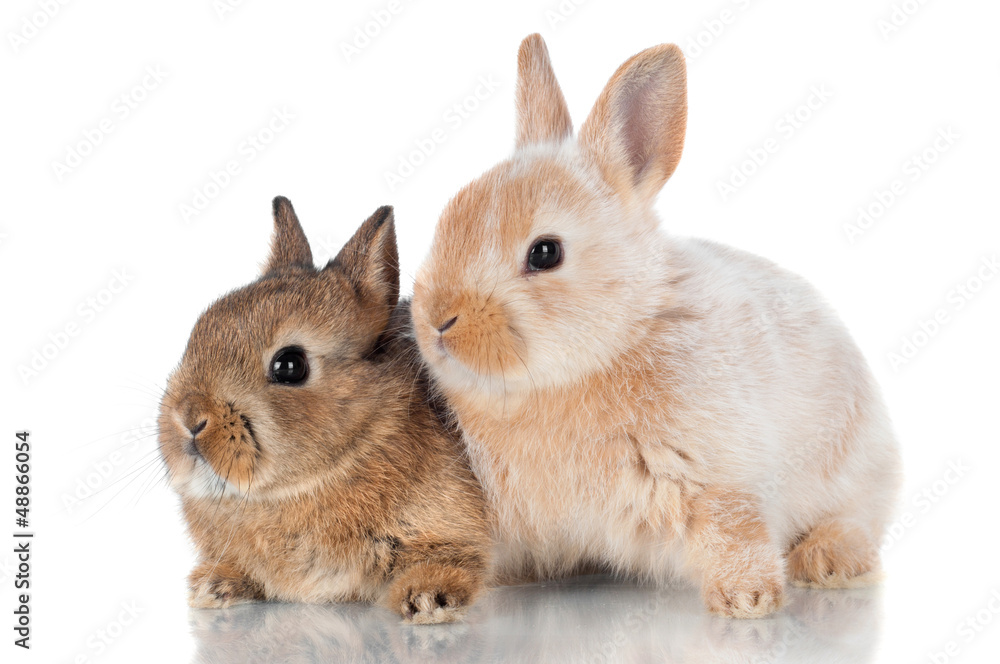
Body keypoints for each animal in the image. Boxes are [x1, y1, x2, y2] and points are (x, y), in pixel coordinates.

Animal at [157, 197, 491, 624]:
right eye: (200, 330)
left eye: (290, 365)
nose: (190, 419)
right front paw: (214, 587)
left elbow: (452, 560)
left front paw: (430, 599)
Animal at [409, 34, 902, 619]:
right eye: (447, 219)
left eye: (545, 253)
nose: (438, 320)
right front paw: (435, 595)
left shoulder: (719, 478)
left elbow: (734, 530)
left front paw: (748, 600)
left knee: (855, 519)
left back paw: (828, 560)